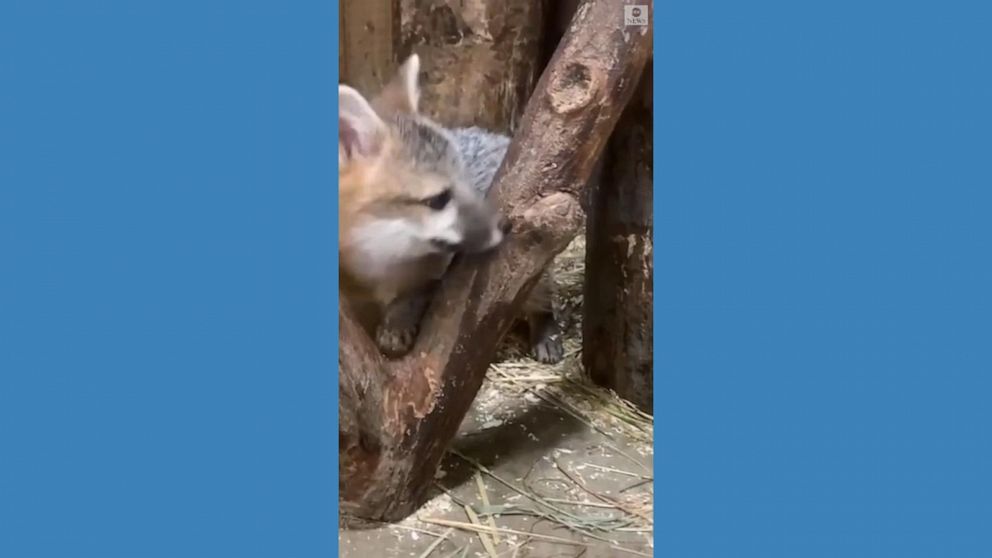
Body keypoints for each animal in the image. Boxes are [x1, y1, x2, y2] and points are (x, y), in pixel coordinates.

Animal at [338, 54, 564, 364]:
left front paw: (397, 323)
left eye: (466, 180)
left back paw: (545, 332)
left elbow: (415, 294)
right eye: (438, 199)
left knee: (540, 296)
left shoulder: (434, 275)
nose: (504, 225)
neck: (381, 263)